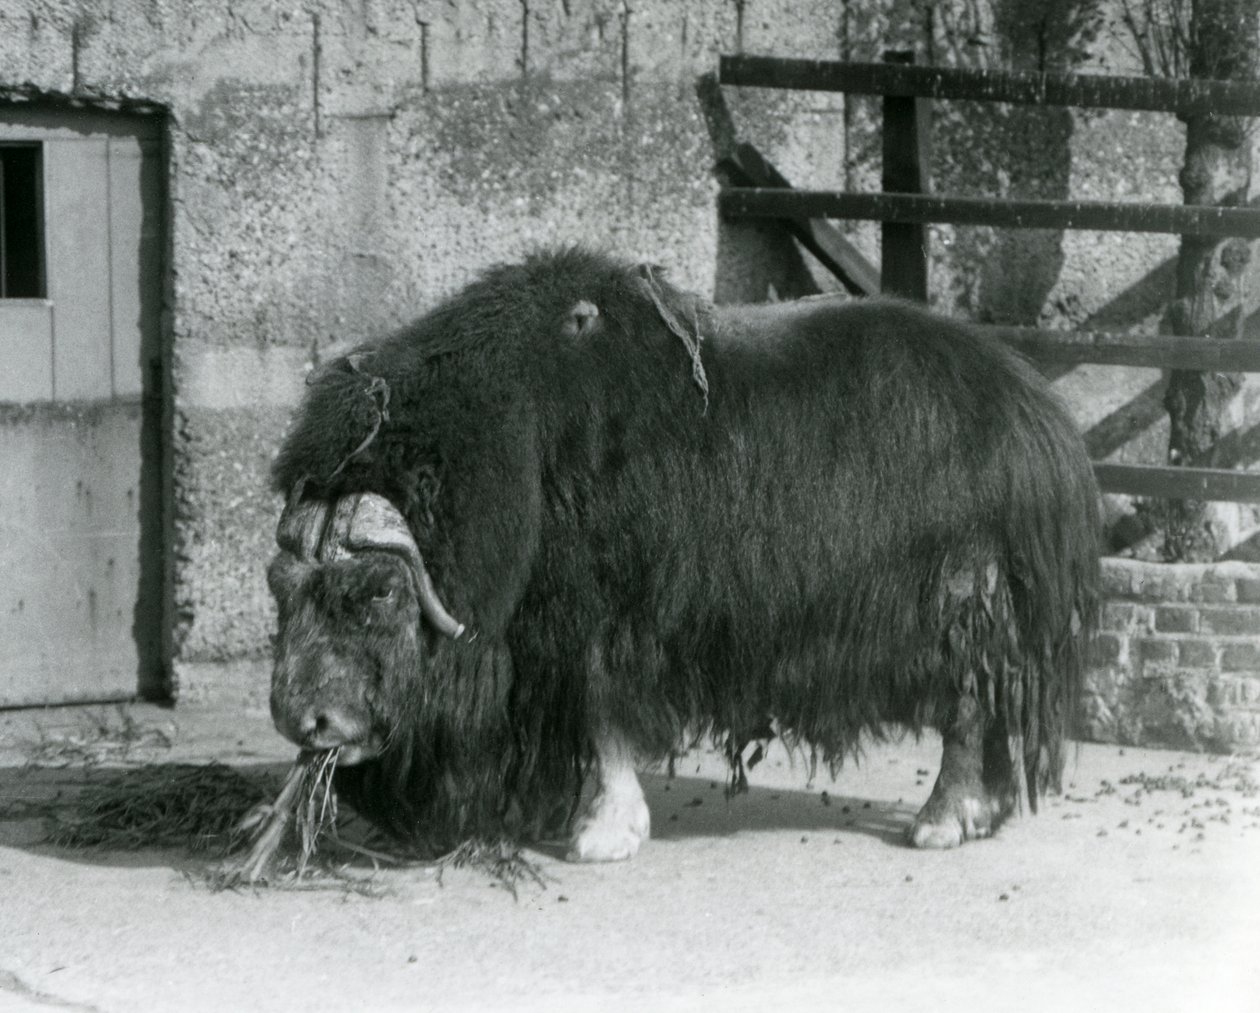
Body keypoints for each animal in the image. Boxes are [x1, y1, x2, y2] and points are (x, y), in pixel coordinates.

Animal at [266, 248, 1100, 862]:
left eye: (378, 591)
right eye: (280, 586)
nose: (305, 721)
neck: (516, 450)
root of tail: (1038, 416)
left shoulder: (599, 622)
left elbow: (603, 718)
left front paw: (602, 834)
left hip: (961, 600)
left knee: (966, 706)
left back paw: (941, 820)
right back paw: (979, 813)